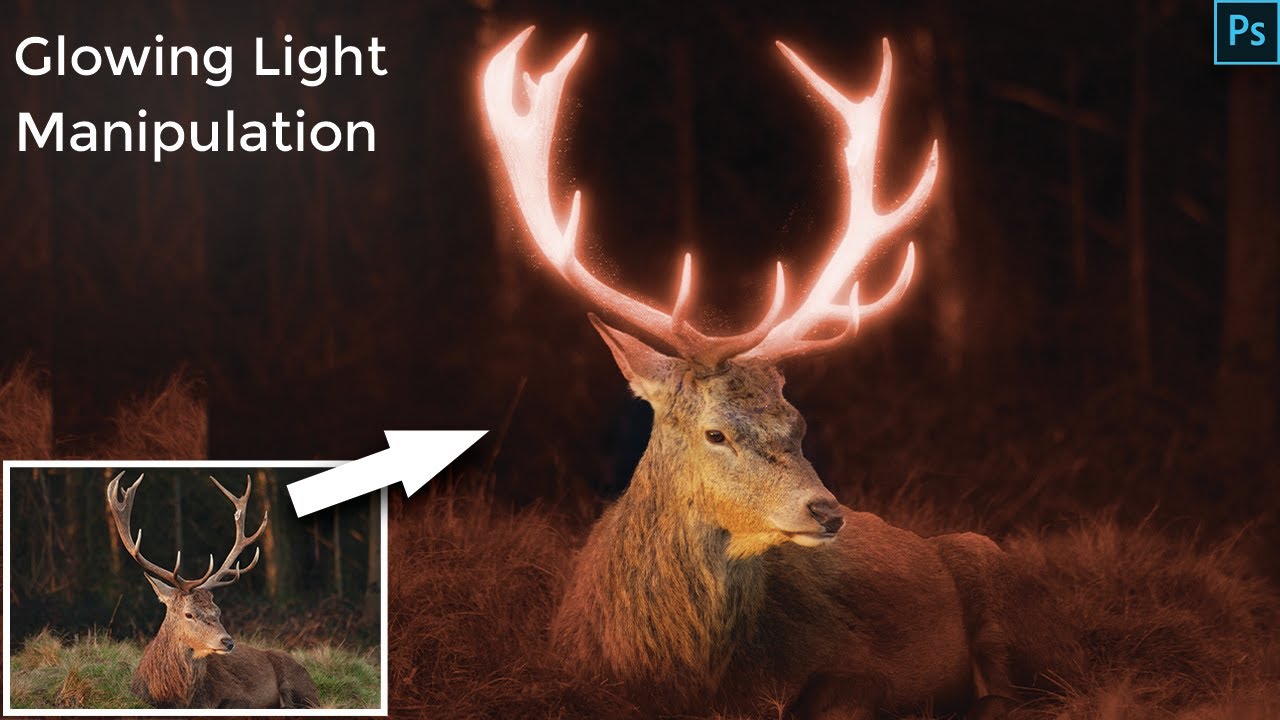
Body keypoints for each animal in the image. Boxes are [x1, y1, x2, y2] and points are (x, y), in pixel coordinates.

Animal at [106, 472, 320, 709]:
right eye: (188, 614)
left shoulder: (241, 698)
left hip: (298, 681)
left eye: (218, 611)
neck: (177, 697)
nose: (228, 641)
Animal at [483, 28, 1070, 719]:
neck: (682, 676)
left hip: (999, 579)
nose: (827, 511)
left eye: (799, 422)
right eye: (715, 433)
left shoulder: (858, 670)